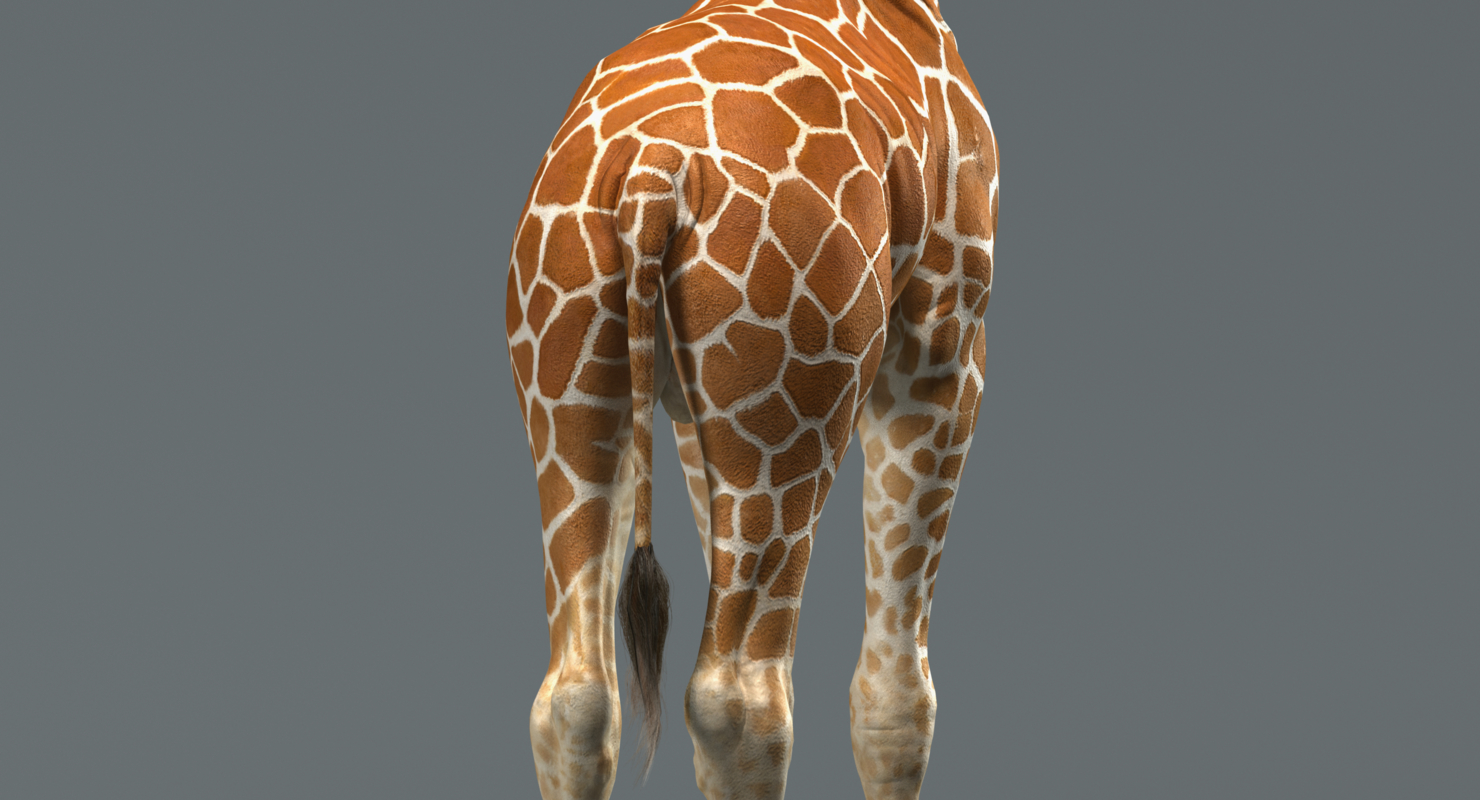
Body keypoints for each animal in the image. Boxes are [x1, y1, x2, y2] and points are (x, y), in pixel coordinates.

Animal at [505, 1, 998, 797]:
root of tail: (653, 171)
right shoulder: (942, 348)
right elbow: (895, 698)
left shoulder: (687, 418)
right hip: (801, 405)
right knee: (738, 696)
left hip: (572, 392)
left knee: (575, 695)